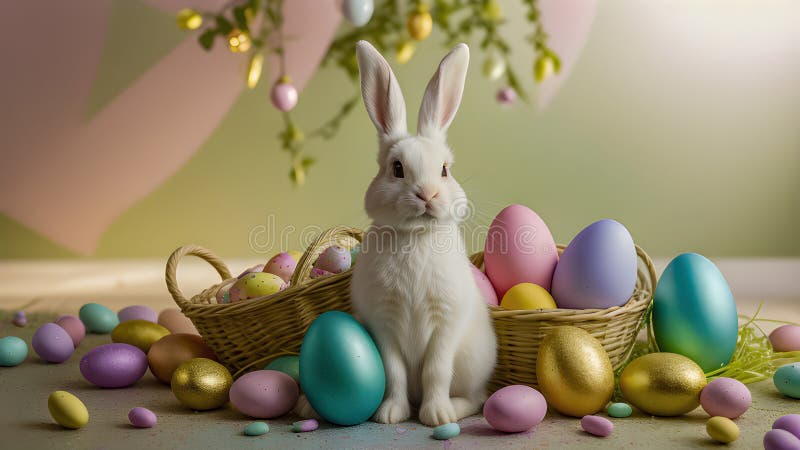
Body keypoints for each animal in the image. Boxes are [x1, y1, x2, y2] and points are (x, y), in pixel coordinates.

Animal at [349, 40, 497, 427]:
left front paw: (436, 415)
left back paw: (455, 409)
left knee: (478, 396)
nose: (427, 194)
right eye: (397, 168)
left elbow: (436, 370)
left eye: (444, 170)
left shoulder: (446, 322)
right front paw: (390, 414)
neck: (416, 235)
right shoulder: (383, 324)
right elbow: (394, 372)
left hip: (472, 362)